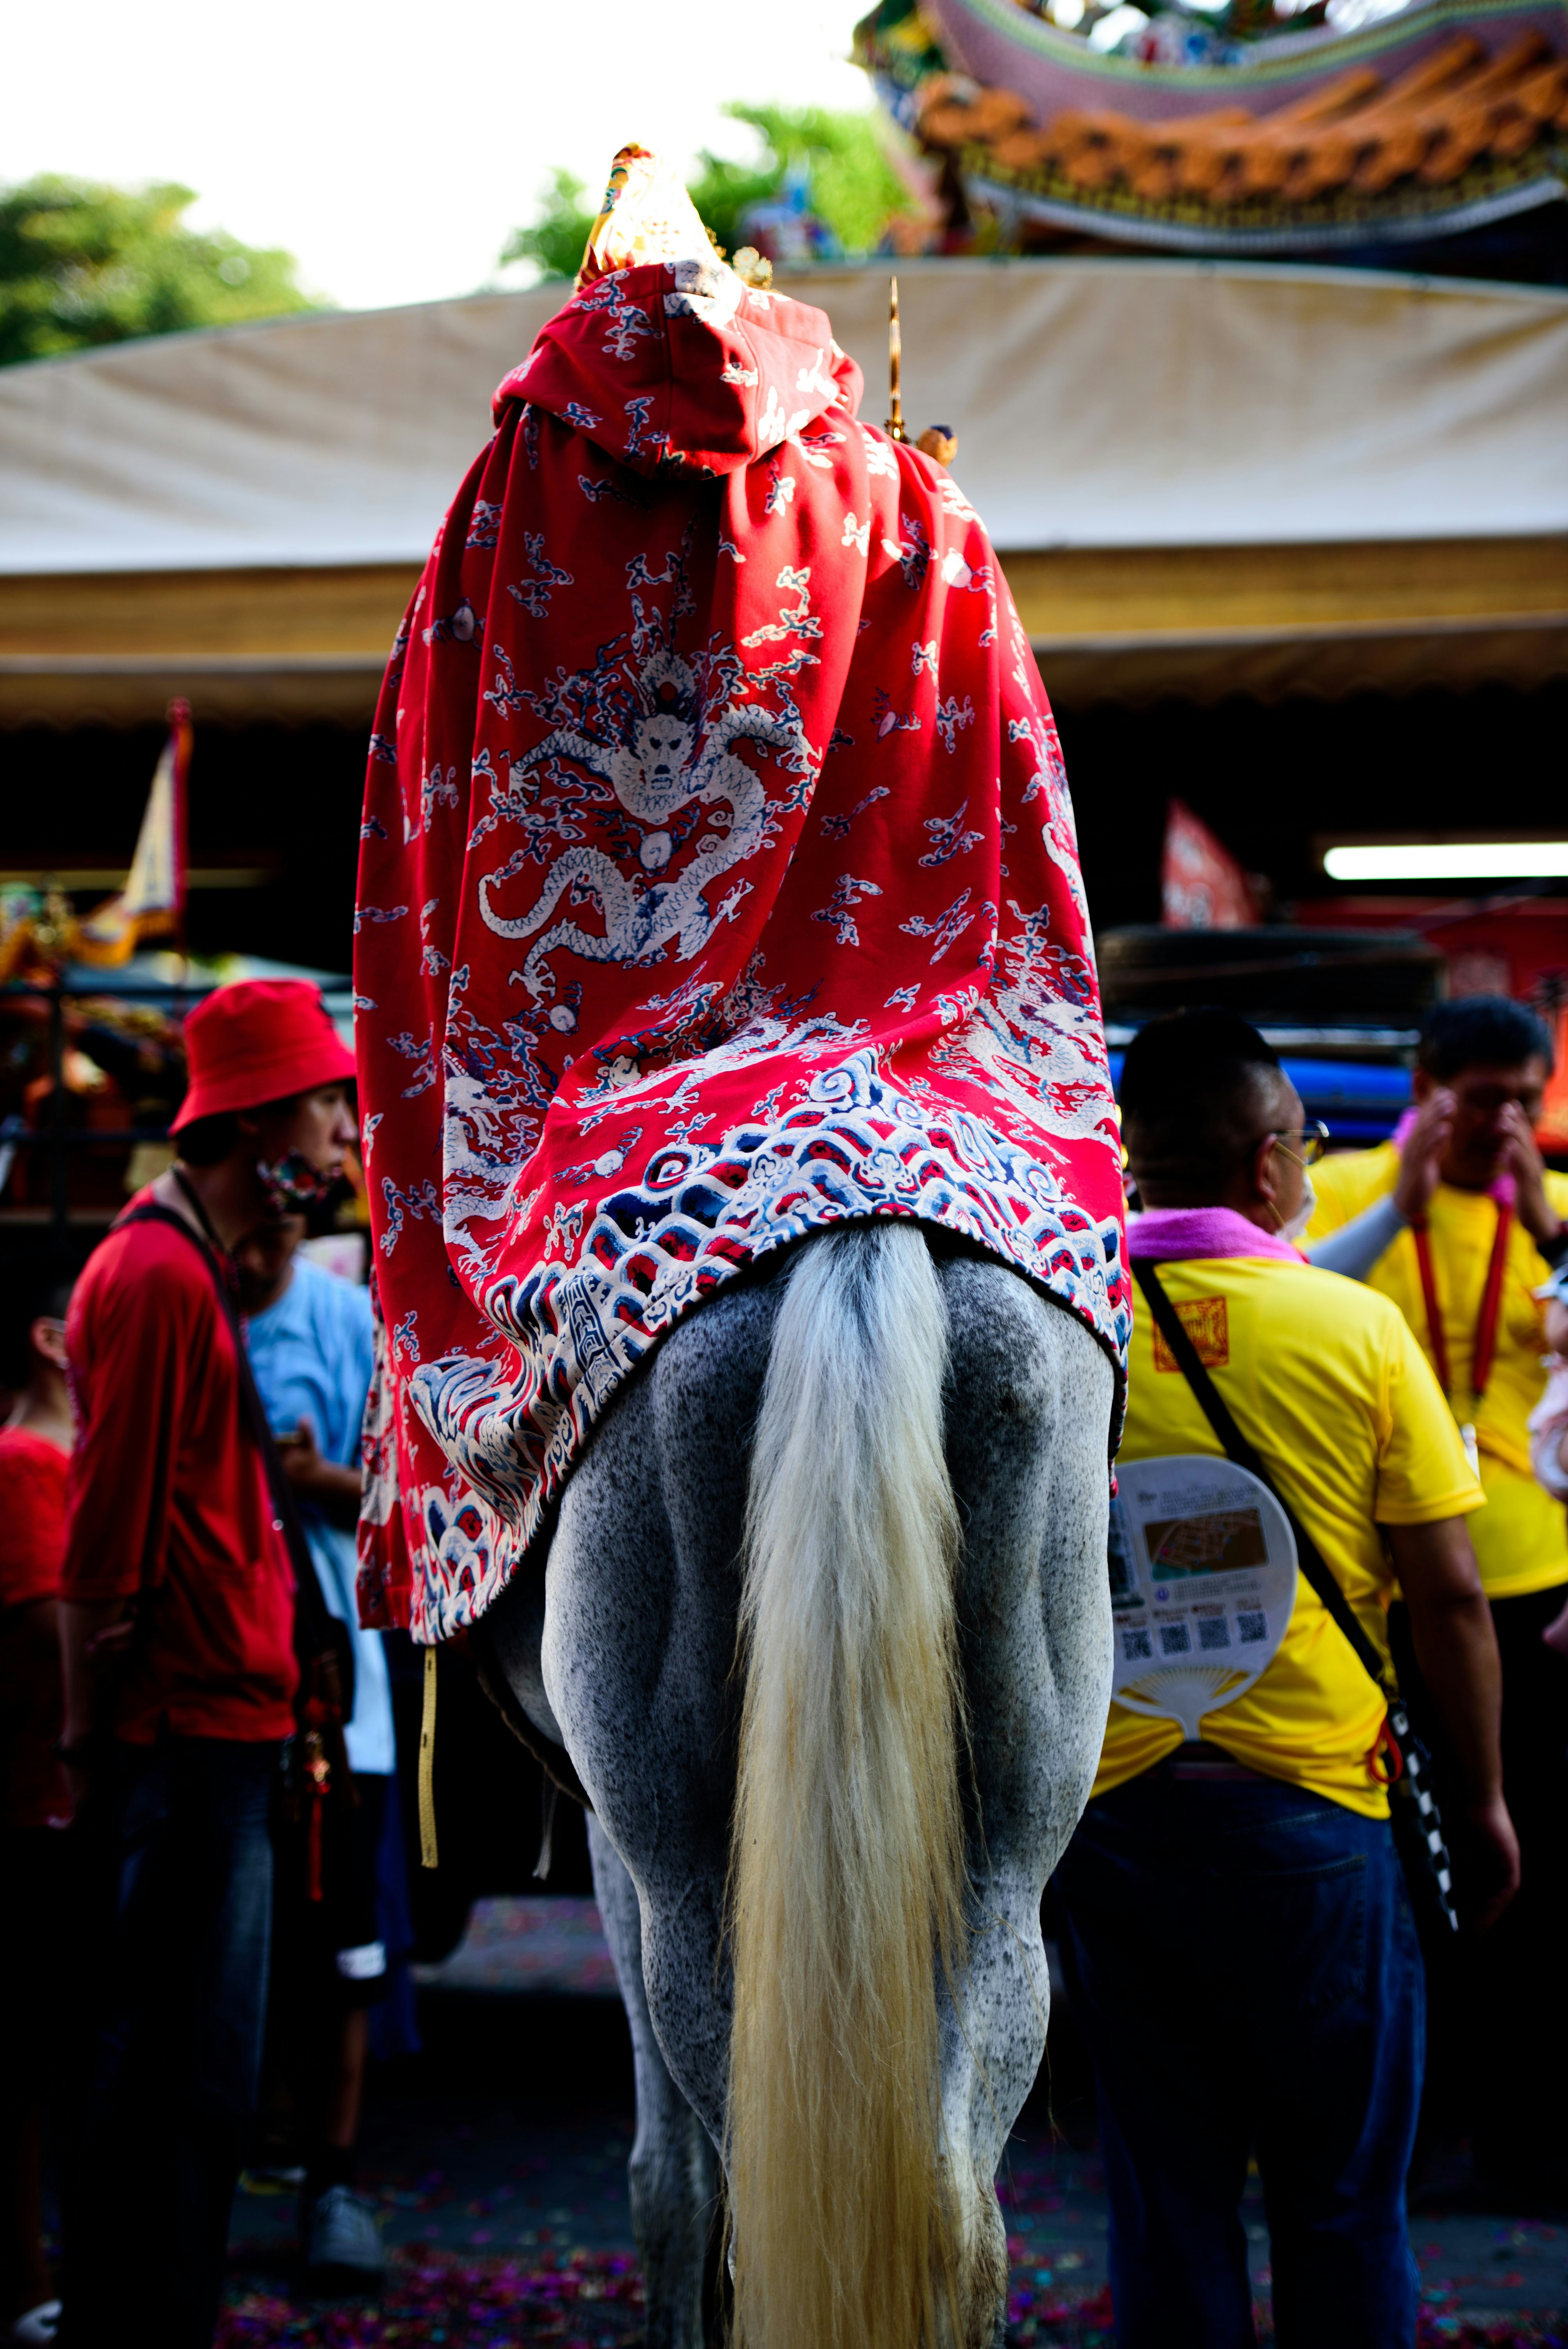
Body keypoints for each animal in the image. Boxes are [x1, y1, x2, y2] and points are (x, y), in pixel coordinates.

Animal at [478, 1217, 1113, 2348]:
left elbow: (668, 2179)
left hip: (692, 1883)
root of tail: (864, 1231)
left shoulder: (619, 1850)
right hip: (999, 1871)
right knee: (959, 2210)